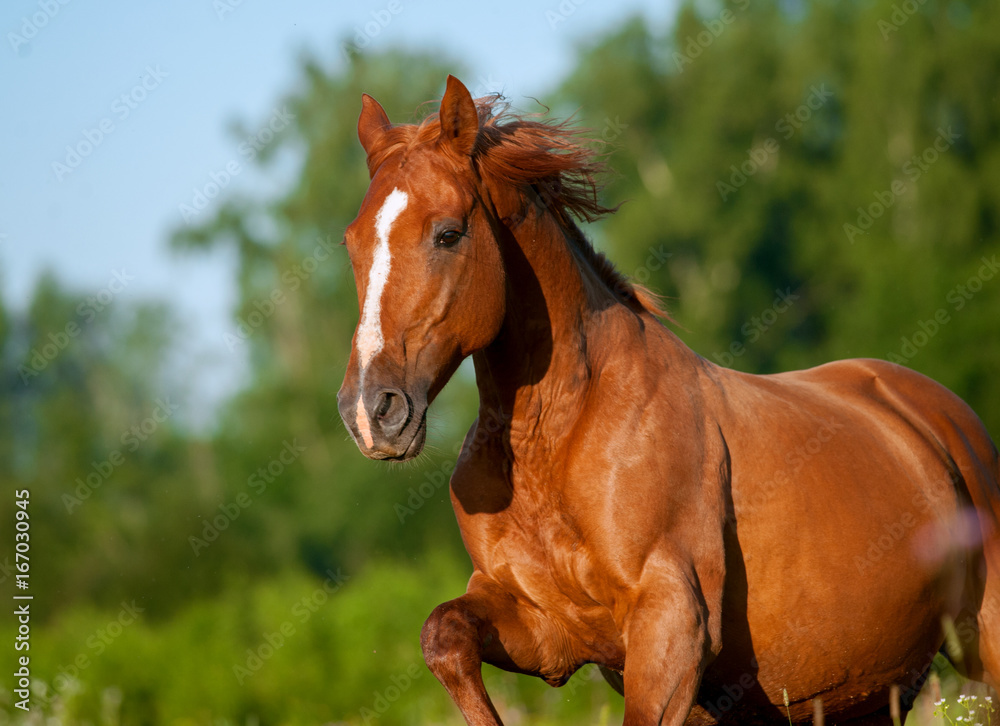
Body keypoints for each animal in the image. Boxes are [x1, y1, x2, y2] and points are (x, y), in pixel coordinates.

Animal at [336, 75, 1000, 725]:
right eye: (351, 243)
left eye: (448, 233)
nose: (371, 413)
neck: (553, 440)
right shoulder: (544, 628)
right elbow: (442, 636)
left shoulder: (673, 623)